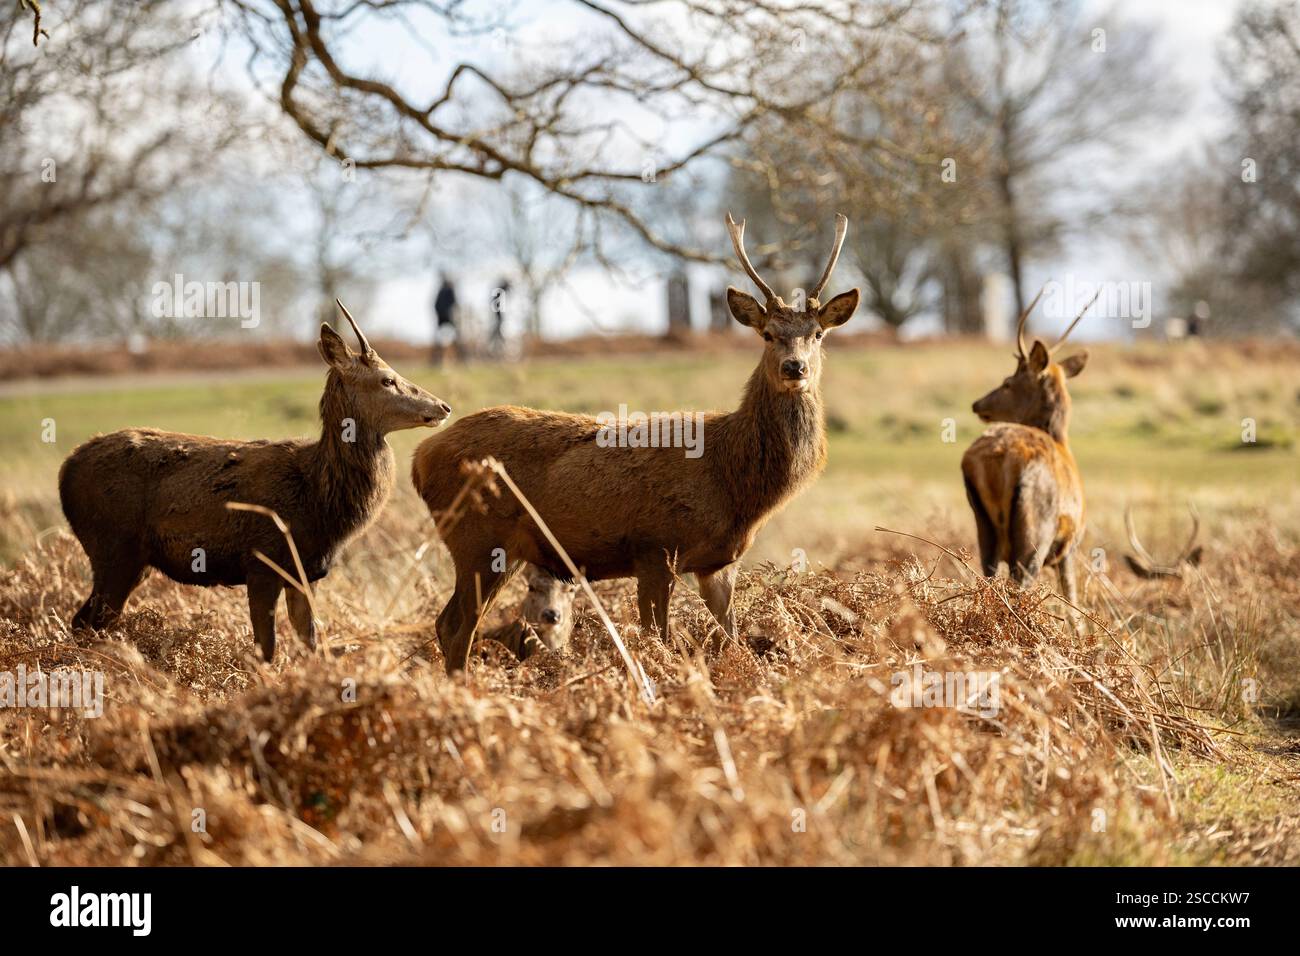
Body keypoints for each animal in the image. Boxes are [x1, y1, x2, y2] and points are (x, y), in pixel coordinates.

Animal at [59, 301, 452, 662]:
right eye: (387, 379)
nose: (443, 406)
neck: (317, 498)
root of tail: (66, 470)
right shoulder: (261, 562)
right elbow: (267, 648)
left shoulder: (304, 572)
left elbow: (309, 642)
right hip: (112, 546)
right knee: (88, 622)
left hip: (131, 559)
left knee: (84, 621)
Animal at [412, 212, 859, 672]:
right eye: (768, 334)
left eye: (818, 334)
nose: (795, 367)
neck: (735, 484)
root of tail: (419, 457)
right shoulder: (654, 549)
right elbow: (657, 639)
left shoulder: (719, 563)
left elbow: (731, 639)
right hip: (476, 539)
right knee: (455, 625)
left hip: (501, 551)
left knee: (449, 622)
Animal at [960, 288, 1097, 611]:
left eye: (1008, 382)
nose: (977, 404)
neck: (1062, 441)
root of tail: (998, 460)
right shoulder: (1070, 544)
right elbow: (1073, 604)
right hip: (1035, 534)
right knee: (1020, 585)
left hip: (985, 529)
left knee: (987, 578)